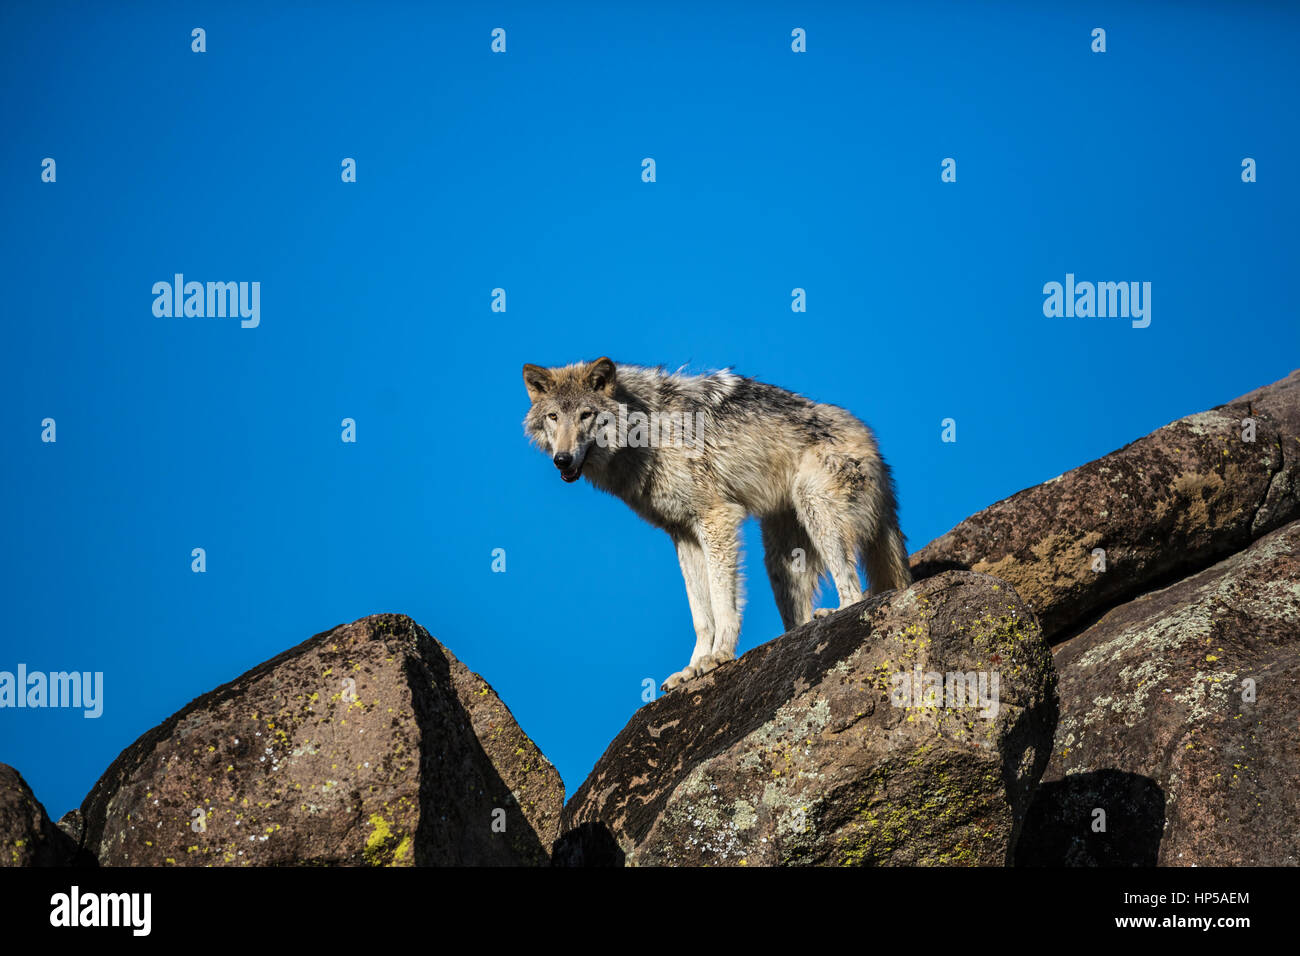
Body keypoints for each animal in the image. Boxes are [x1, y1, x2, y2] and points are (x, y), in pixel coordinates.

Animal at [522, 357, 912, 691]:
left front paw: (720, 655)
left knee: (853, 588)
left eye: (586, 415)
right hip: (782, 561)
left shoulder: (717, 519)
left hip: (815, 508)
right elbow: (700, 613)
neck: (648, 431)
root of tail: (873, 442)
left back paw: (835, 612)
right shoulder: (683, 535)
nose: (562, 459)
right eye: (554, 416)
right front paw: (692, 667)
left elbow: (723, 601)